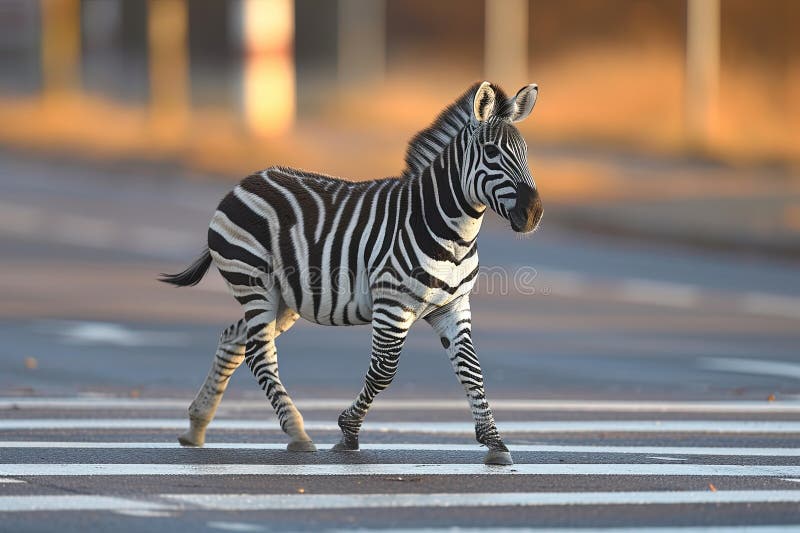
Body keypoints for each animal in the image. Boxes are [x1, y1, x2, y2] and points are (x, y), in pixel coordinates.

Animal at [161, 81, 543, 465]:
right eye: (491, 152)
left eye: (526, 153)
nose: (534, 213)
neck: (449, 231)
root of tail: (244, 182)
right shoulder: (392, 305)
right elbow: (383, 372)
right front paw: (348, 432)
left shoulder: (454, 307)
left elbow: (472, 371)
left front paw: (495, 443)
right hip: (254, 282)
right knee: (260, 355)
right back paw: (297, 432)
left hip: (283, 299)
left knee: (234, 338)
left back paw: (197, 425)